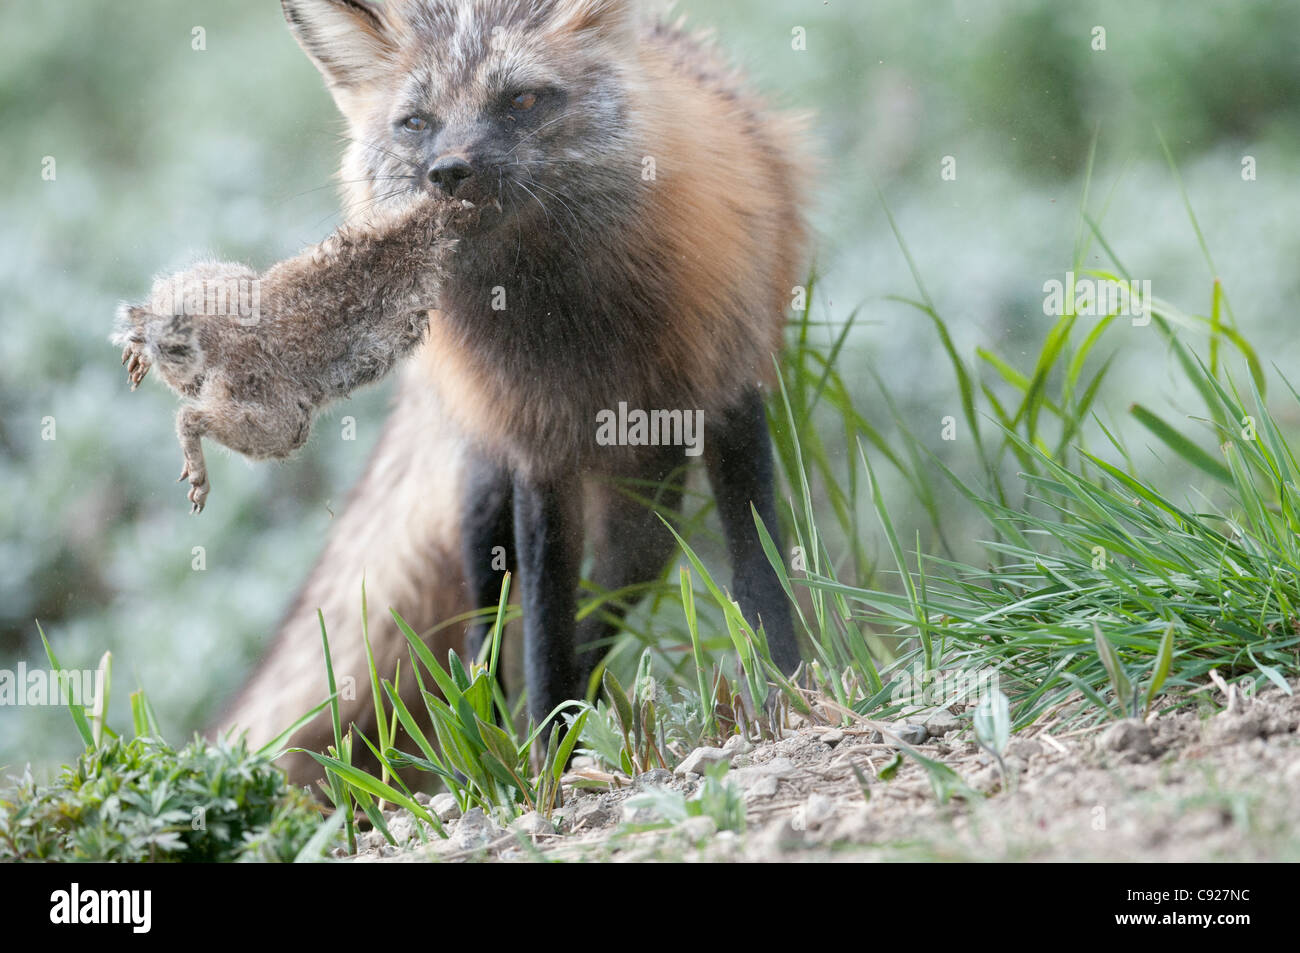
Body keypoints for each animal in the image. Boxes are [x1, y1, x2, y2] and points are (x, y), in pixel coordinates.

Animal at [120, 0, 812, 786]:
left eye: (521, 101)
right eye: (416, 121)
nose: (448, 172)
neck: (585, 336)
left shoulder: (729, 394)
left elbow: (759, 574)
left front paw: (792, 696)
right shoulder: (538, 450)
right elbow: (544, 627)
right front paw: (551, 756)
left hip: (649, 518)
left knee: (600, 612)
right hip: (486, 498)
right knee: (490, 639)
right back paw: (499, 733)